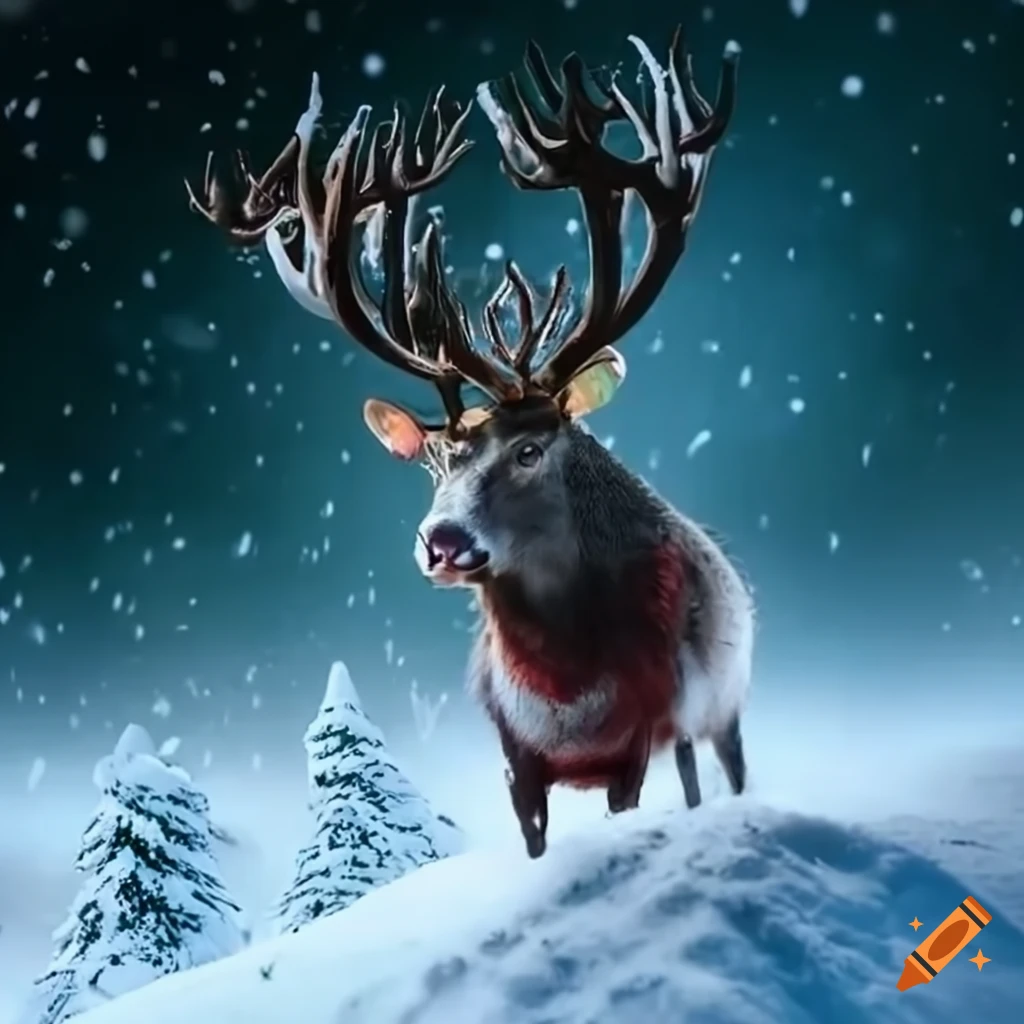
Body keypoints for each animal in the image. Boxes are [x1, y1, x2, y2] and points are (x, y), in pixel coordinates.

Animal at [185, 28, 752, 859]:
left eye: (531, 449)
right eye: (434, 460)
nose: (441, 543)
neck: (567, 696)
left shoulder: (651, 731)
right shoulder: (514, 757)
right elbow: (532, 838)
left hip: (720, 708)